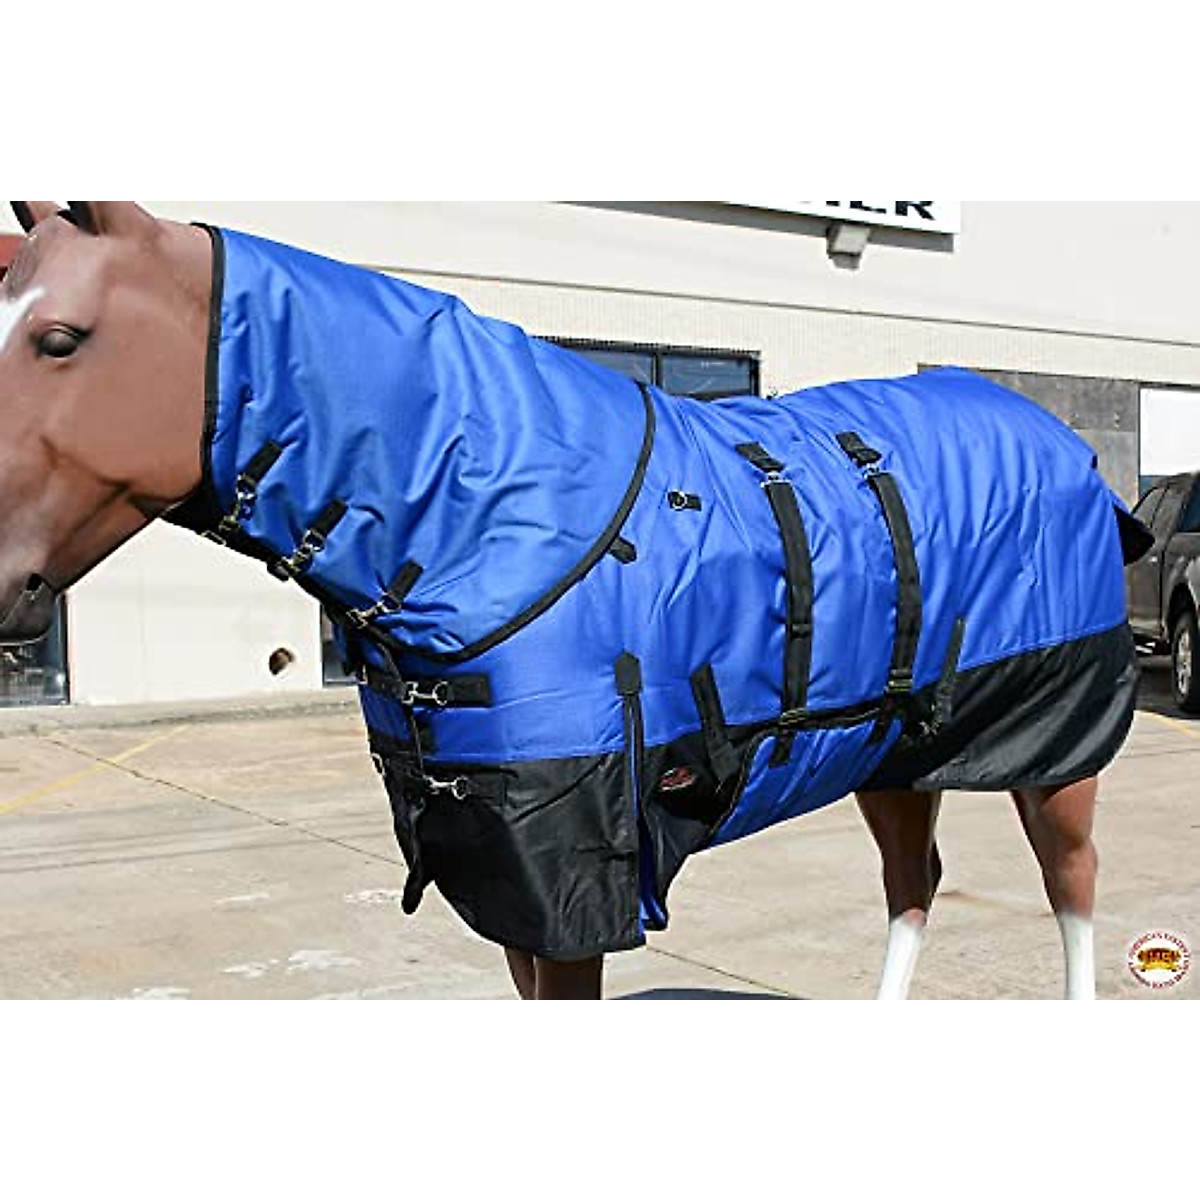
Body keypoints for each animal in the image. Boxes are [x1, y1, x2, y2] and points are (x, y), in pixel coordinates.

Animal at [1, 200, 1149, 1000]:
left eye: (61, 339)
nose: (5, 588)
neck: (488, 511)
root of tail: (1065, 443)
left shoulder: (574, 883)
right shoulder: (505, 876)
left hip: (1058, 756)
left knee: (1074, 890)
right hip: (892, 753)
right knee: (916, 882)